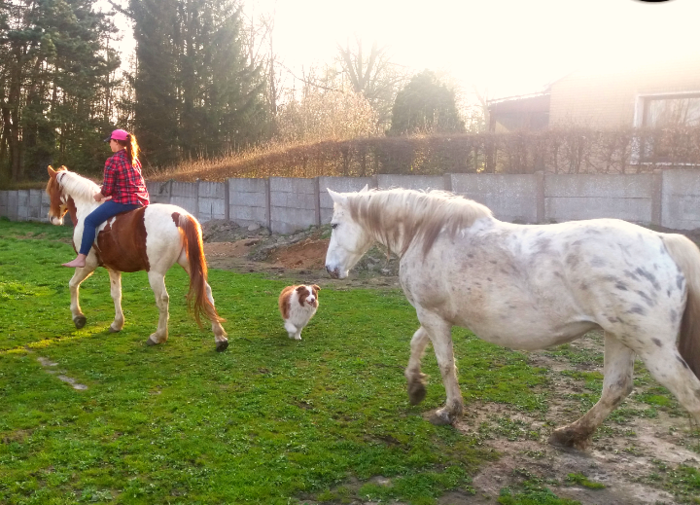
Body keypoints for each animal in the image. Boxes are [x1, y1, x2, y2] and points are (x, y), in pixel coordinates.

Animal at [45, 166, 229, 352]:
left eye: (50, 189)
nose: (52, 218)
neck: (88, 209)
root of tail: (179, 216)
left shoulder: (87, 264)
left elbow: (72, 285)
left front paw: (78, 317)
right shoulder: (113, 268)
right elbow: (116, 294)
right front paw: (117, 324)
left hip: (155, 273)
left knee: (163, 299)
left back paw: (158, 336)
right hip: (189, 265)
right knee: (206, 291)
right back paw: (220, 338)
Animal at [324, 186, 700, 449]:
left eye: (334, 224)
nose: (329, 270)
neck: (428, 234)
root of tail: (664, 242)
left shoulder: (431, 314)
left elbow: (445, 363)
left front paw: (449, 411)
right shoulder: (433, 315)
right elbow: (417, 343)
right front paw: (416, 387)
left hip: (654, 349)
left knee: (688, 395)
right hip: (619, 336)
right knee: (616, 388)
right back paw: (569, 434)